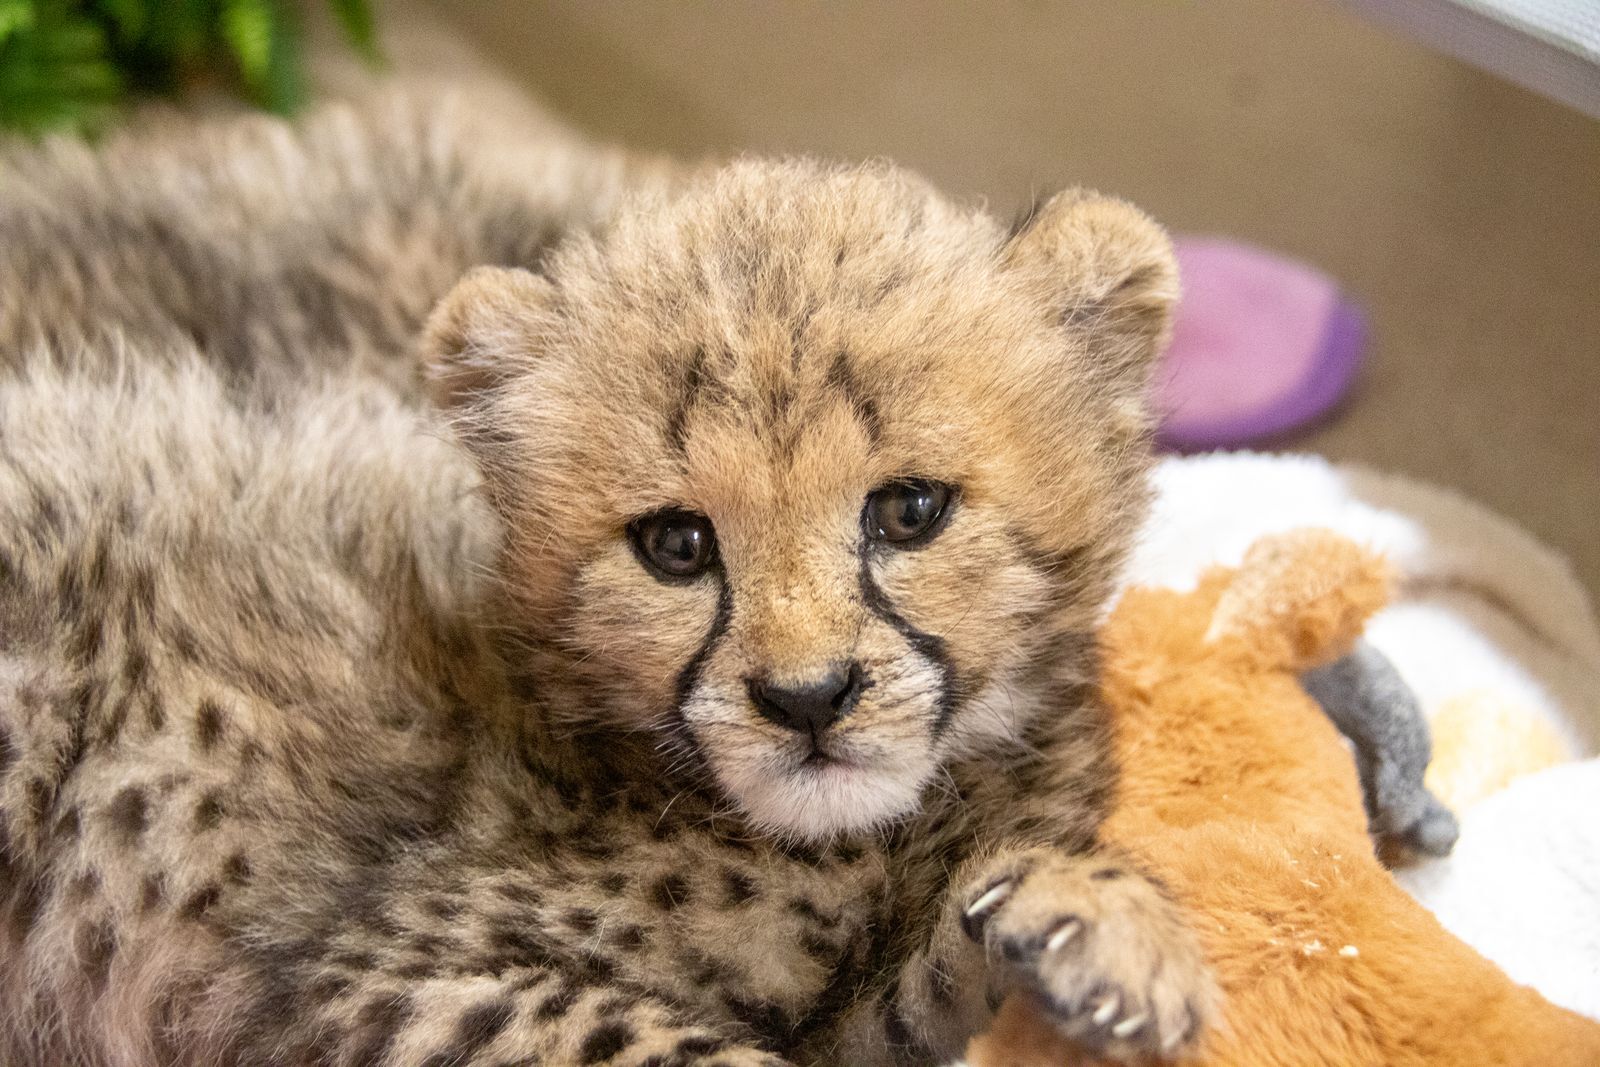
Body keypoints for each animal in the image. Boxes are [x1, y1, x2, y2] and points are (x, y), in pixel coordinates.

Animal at [0, 58, 1216, 1067]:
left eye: (908, 510)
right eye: (676, 544)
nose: (807, 699)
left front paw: (1091, 917)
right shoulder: (364, 981)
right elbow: (688, 1049)